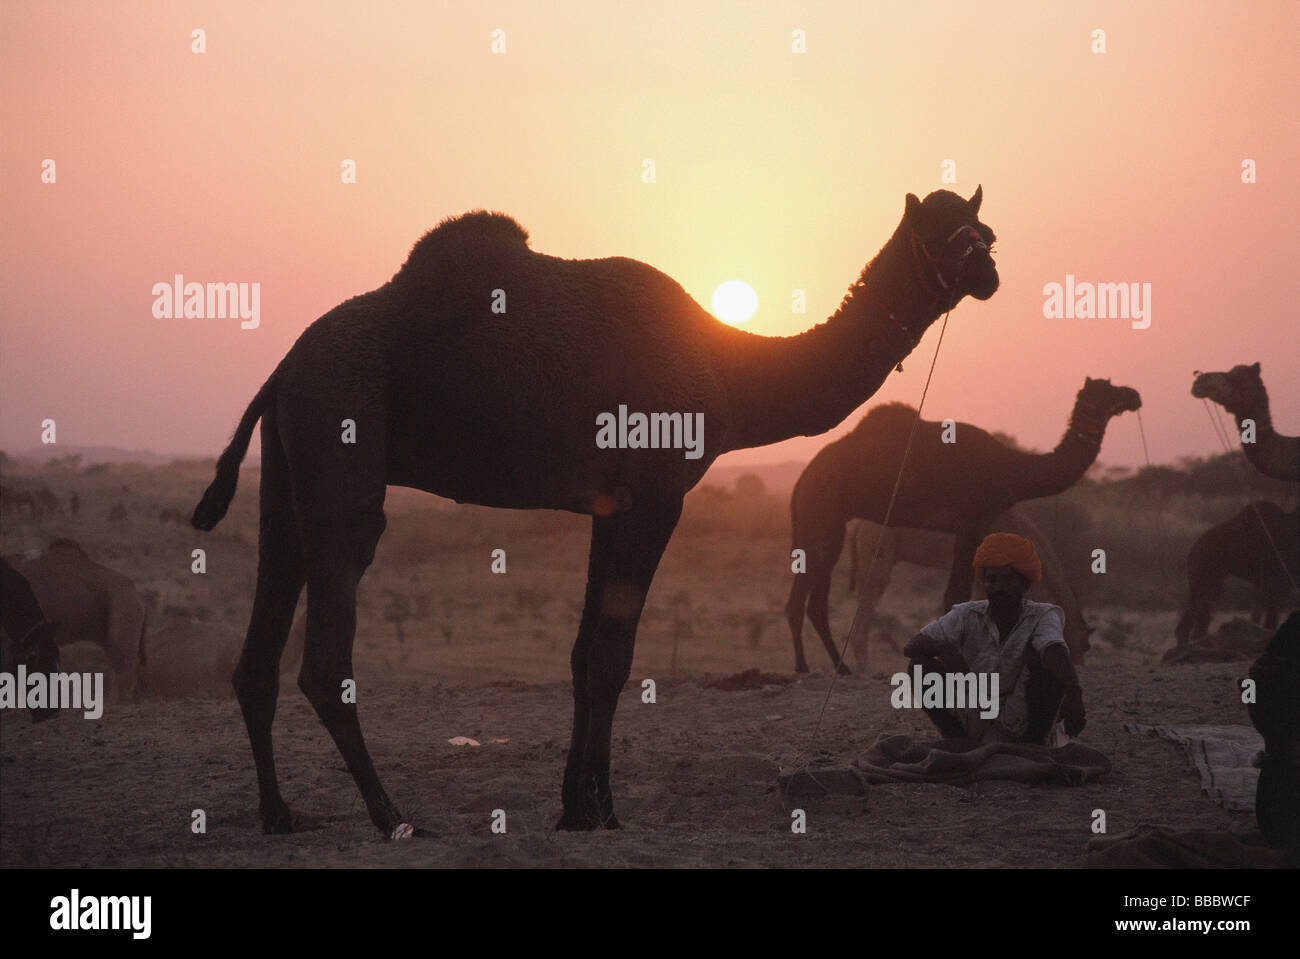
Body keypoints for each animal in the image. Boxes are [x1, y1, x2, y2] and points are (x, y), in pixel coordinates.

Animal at [191, 187, 1001, 837]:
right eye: (942, 231)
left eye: (983, 229)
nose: (988, 272)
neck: (730, 367)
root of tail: (282, 368)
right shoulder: (658, 495)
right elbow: (613, 657)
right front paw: (604, 811)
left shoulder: (609, 505)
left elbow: (584, 654)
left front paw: (577, 806)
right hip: (343, 430)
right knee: (327, 647)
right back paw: (392, 816)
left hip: (289, 467)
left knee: (263, 632)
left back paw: (279, 813)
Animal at [1174, 501, 1299, 647]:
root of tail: (1192, 551)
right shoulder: (1277, 577)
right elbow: (1270, 612)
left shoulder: (1264, 580)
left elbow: (1258, 609)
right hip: (1207, 577)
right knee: (1199, 612)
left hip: (1205, 580)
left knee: (1199, 614)